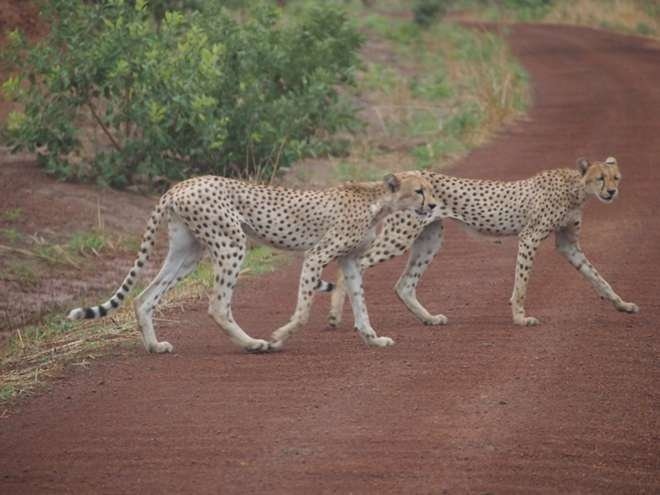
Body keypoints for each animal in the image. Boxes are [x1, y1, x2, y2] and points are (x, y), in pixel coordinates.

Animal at [67, 171, 438, 354]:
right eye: (419, 190)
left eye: (431, 189)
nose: (434, 205)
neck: (378, 200)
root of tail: (180, 185)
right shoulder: (317, 255)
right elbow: (303, 310)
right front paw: (280, 336)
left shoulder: (349, 260)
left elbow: (360, 303)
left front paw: (372, 339)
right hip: (231, 244)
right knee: (218, 306)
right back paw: (253, 344)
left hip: (188, 253)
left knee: (145, 298)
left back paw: (155, 346)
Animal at [327, 157, 639, 329]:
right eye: (600, 178)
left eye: (616, 177)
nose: (612, 192)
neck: (575, 189)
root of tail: (404, 175)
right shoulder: (529, 237)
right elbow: (521, 284)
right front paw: (520, 318)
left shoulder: (568, 244)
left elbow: (597, 276)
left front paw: (622, 305)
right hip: (399, 237)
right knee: (351, 267)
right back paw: (335, 318)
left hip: (431, 238)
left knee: (404, 284)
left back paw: (429, 319)